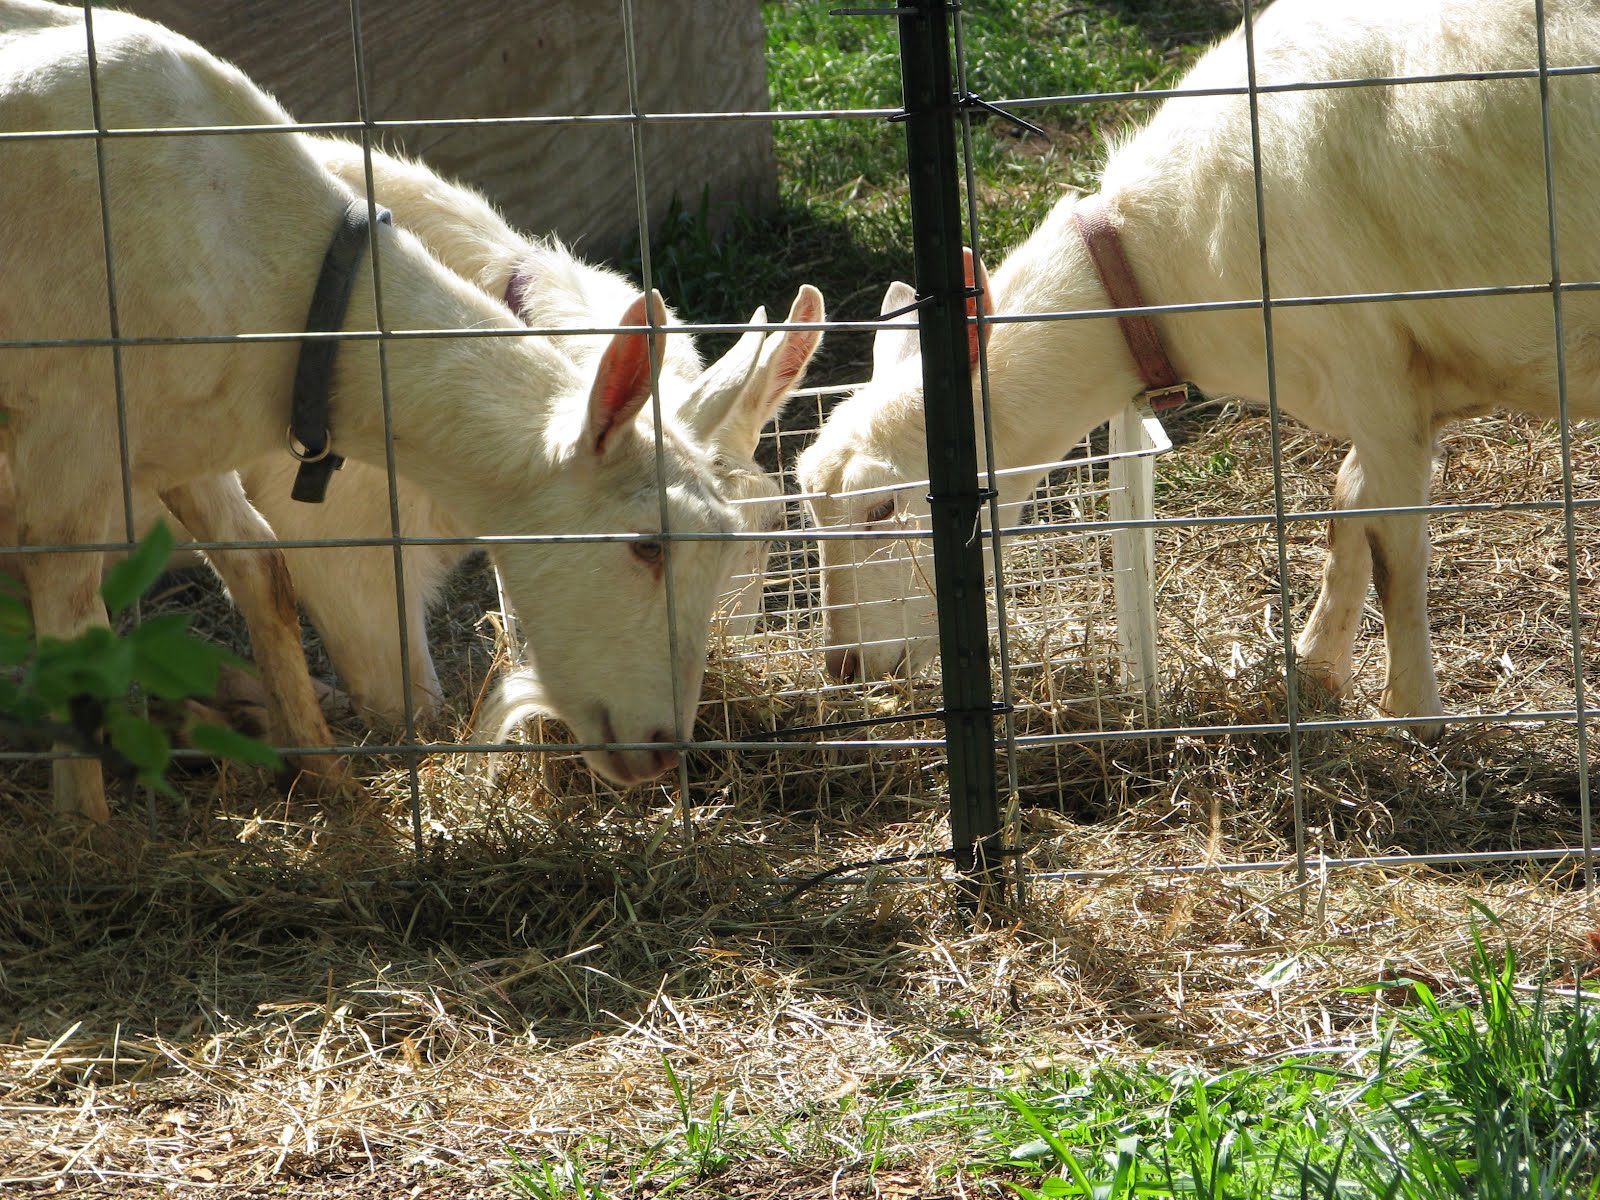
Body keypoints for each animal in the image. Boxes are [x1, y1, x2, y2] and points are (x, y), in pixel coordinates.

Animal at [0, 0, 740, 815]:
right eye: (647, 544)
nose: (665, 749)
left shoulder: (181, 445)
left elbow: (263, 570)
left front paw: (326, 777)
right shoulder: (73, 442)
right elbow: (76, 629)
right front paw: (86, 826)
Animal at [798, 0, 1600, 739]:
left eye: (881, 508)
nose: (842, 666)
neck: (1163, 262)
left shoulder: (1373, 370)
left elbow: (1396, 550)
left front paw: (1414, 713)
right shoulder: (1383, 389)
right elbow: (1348, 509)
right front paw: (1315, 665)